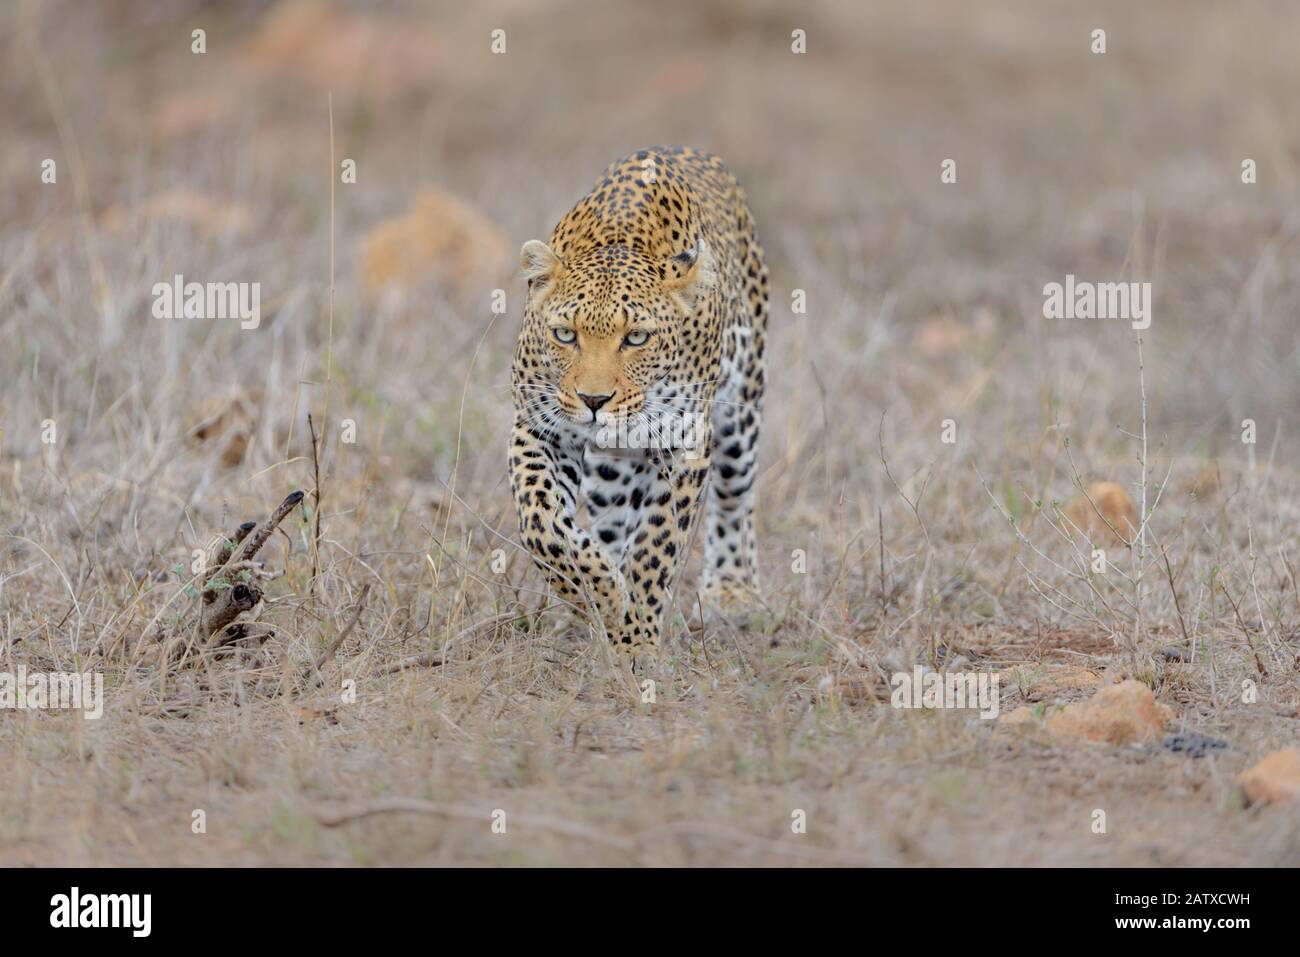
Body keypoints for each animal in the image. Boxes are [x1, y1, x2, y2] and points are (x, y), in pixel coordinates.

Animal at [509, 146, 768, 664]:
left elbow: (657, 542)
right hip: (611, 471)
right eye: (564, 334)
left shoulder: (684, 441)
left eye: (636, 338)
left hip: (742, 407)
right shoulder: (540, 427)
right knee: (611, 520)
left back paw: (732, 589)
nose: (593, 400)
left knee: (735, 498)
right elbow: (542, 520)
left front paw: (637, 639)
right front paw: (601, 592)